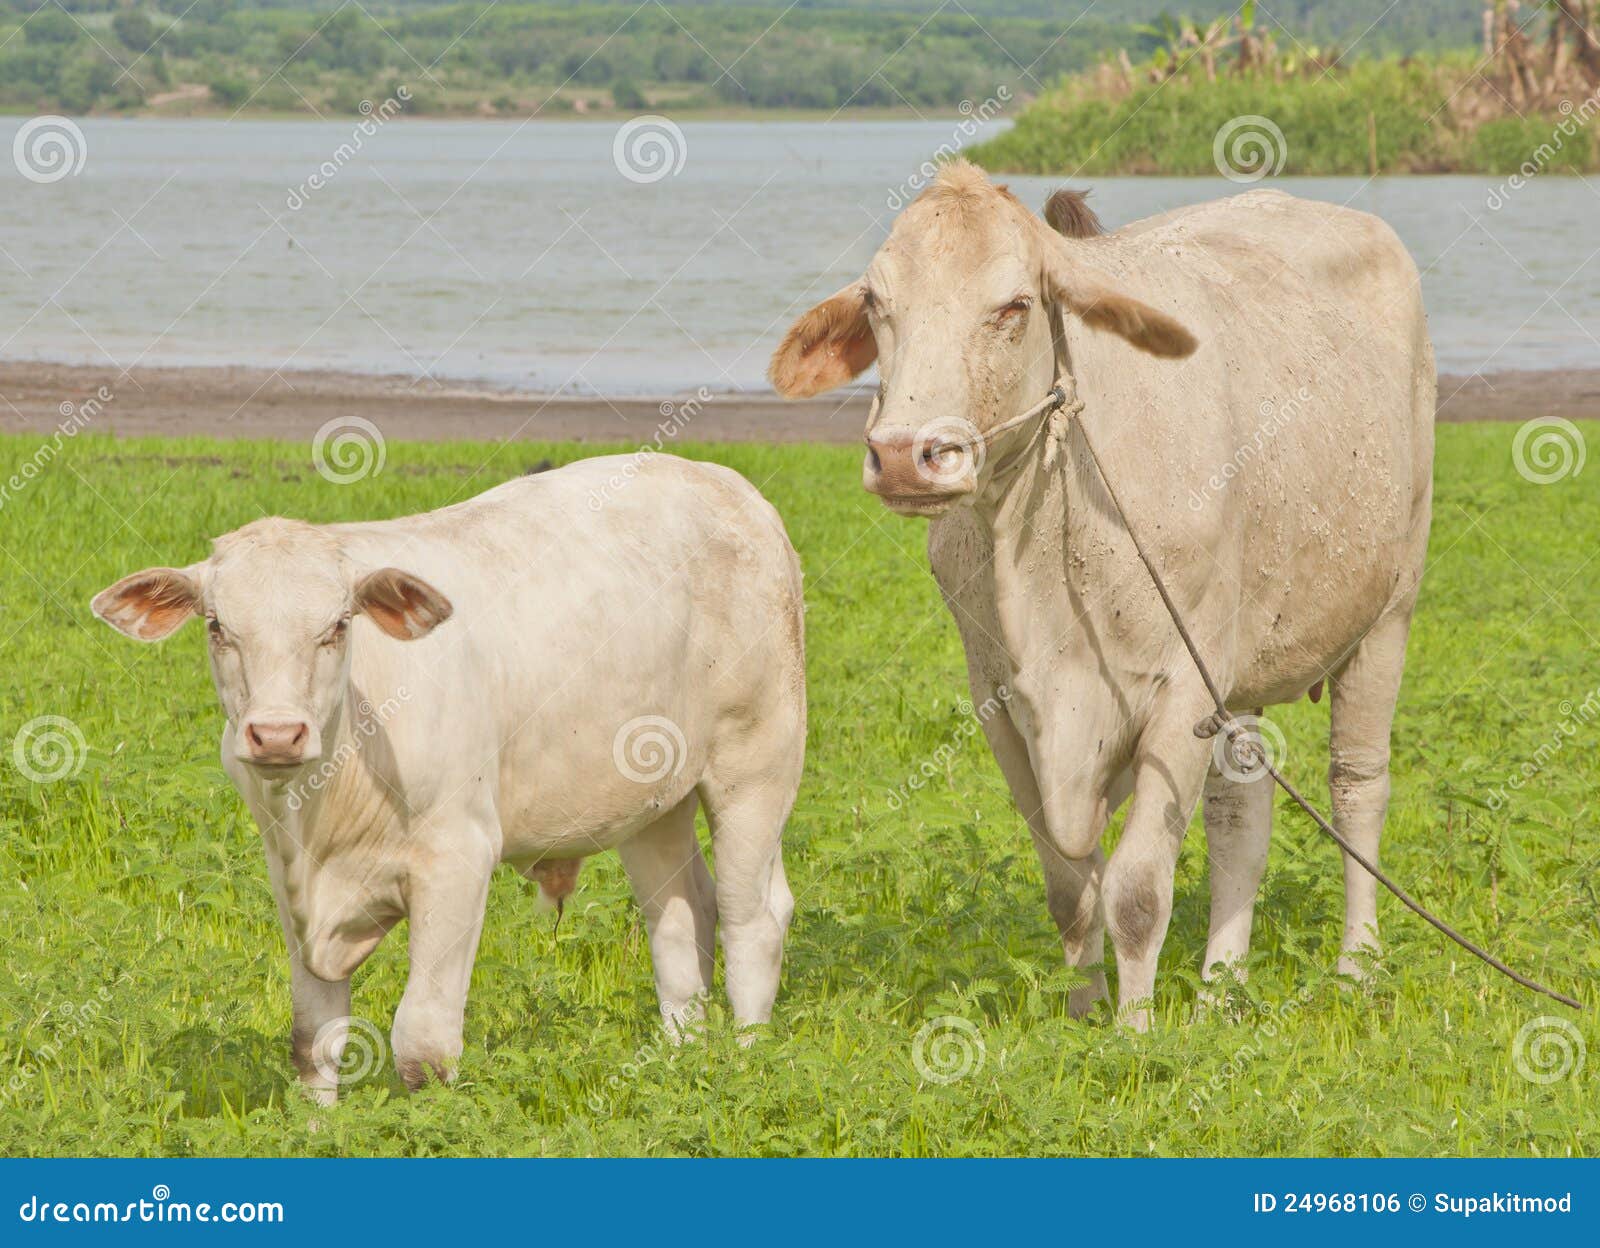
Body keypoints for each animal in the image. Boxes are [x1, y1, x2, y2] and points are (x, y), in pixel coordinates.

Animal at [92, 455, 806, 1099]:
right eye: (217, 627)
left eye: (338, 626)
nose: (275, 733)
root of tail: (728, 485)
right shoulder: (285, 870)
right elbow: (314, 1038)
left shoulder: (458, 855)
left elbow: (423, 1044)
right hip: (653, 803)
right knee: (681, 922)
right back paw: (680, 1062)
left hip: (756, 765)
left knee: (752, 920)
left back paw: (748, 1065)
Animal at [769, 160, 1433, 1028]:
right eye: (879, 303)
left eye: (1014, 305)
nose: (909, 456)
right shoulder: (1003, 703)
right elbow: (1069, 889)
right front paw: (1083, 1013)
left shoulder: (1183, 689)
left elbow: (1137, 893)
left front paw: (1135, 1029)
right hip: (1246, 663)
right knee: (1240, 820)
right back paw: (1221, 988)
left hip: (1387, 611)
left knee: (1357, 789)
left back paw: (1357, 965)